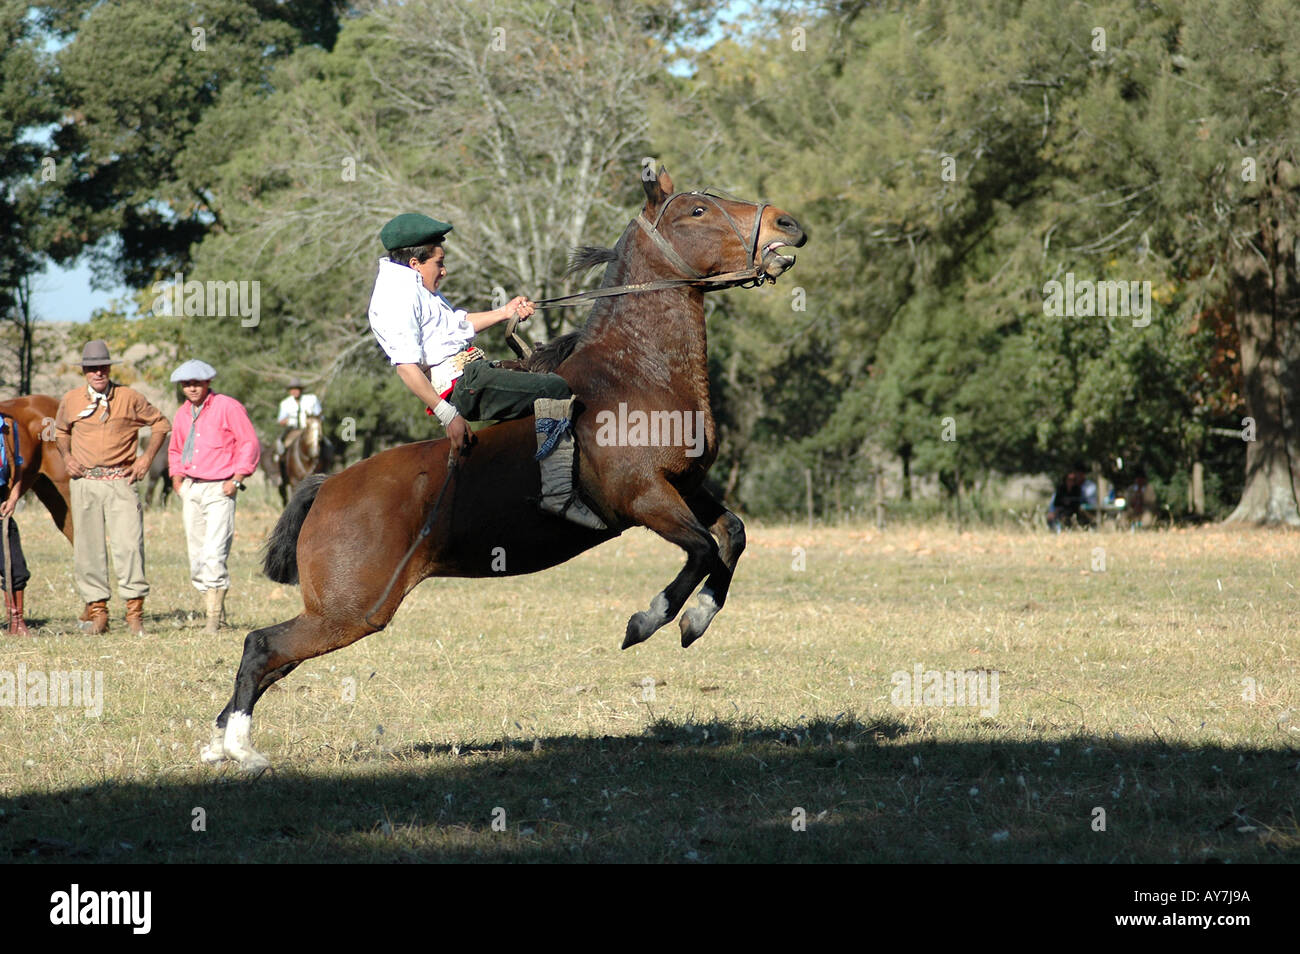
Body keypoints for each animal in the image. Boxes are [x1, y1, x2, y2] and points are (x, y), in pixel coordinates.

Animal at [202, 167, 807, 773]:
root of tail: (329, 487)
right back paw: (240, 750)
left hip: (342, 613)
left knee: (269, 659)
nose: (787, 224)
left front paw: (697, 618)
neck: (637, 375)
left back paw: (220, 741)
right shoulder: (644, 497)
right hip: (352, 612)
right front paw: (651, 619)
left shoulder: (687, 486)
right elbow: (703, 548)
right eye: (697, 211)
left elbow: (732, 536)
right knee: (262, 646)